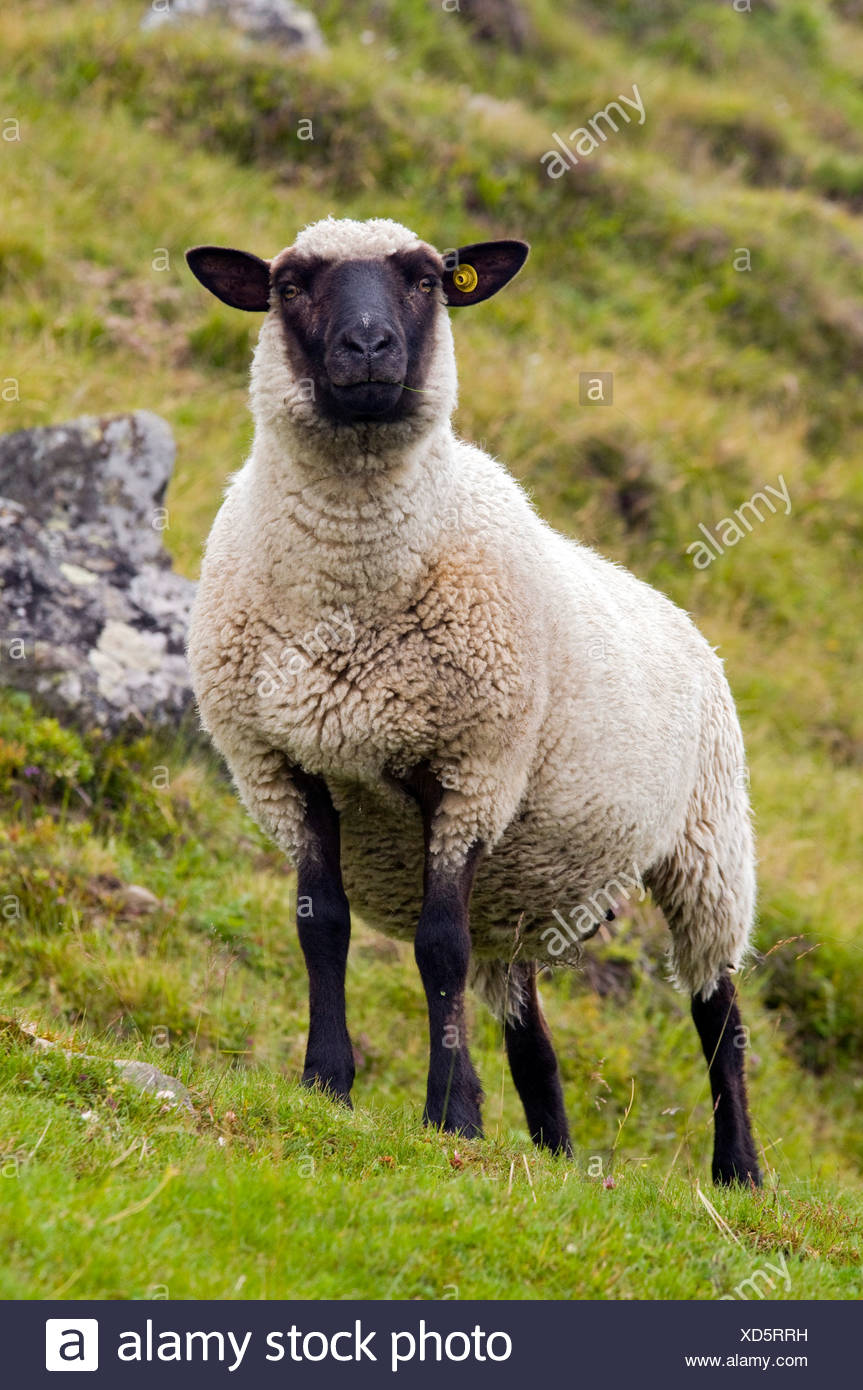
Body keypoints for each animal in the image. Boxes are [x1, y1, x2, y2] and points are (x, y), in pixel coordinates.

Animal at [185, 215, 761, 1186]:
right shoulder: (288, 770)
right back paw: (554, 1152)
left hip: (707, 843)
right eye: (290, 285)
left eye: (426, 280)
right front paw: (327, 1086)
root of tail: (688, 624)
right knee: (534, 1041)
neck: (349, 597)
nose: (368, 348)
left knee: (718, 1010)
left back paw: (741, 1173)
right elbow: (322, 928)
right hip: (523, 889)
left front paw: (447, 1117)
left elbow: (434, 948)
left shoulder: (469, 775)